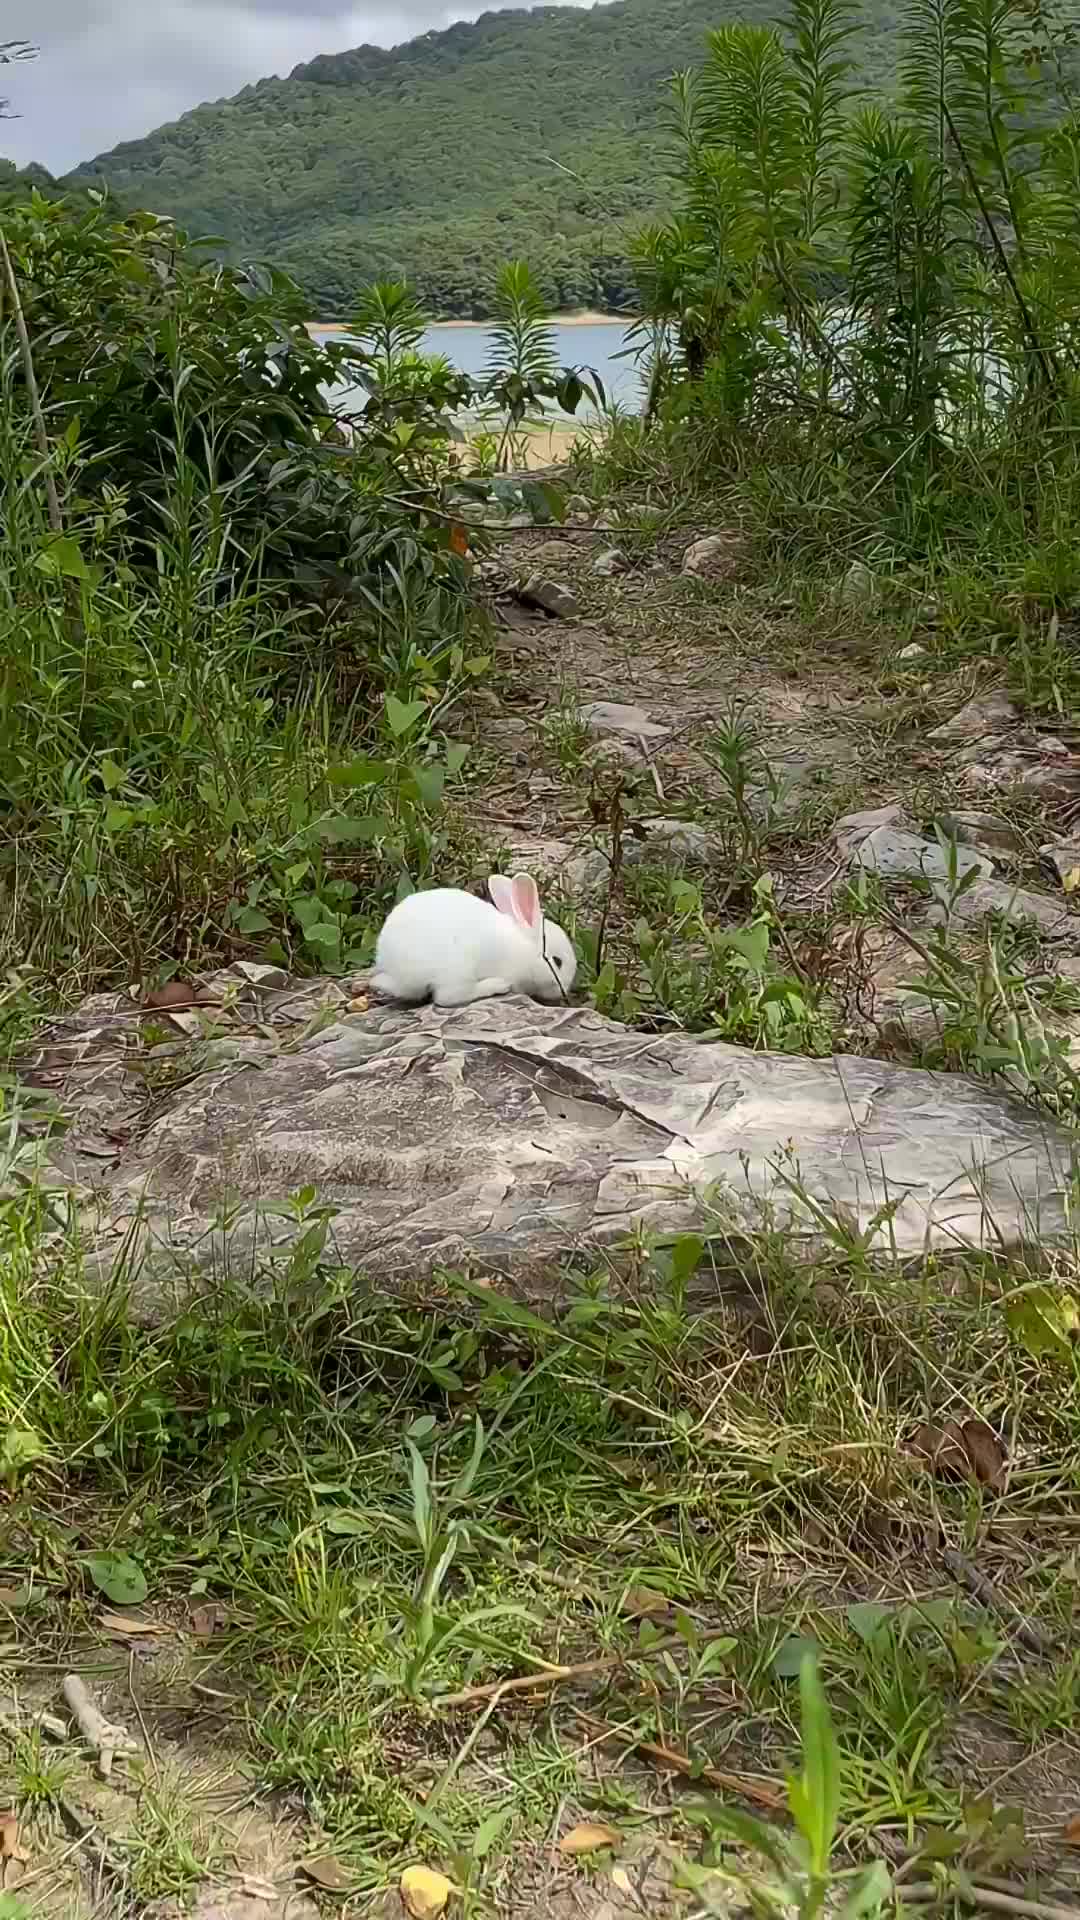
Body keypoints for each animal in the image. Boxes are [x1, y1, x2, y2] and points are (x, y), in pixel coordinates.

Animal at [371, 871, 576, 1007]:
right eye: (557, 961)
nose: (564, 992)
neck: (524, 949)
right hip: (458, 970)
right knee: (447, 998)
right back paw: (496, 985)